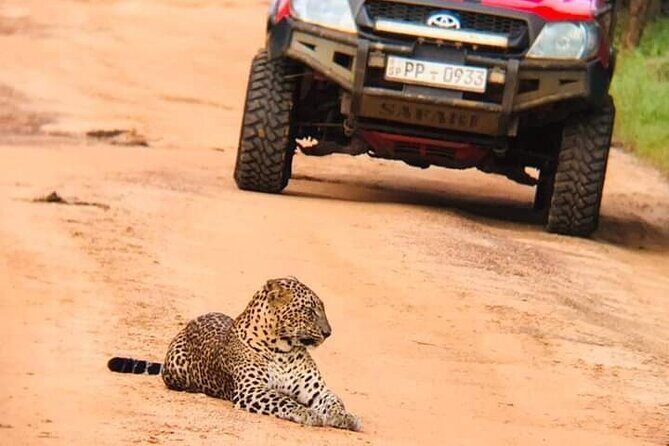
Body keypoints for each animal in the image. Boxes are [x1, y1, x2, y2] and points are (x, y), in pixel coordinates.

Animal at [107, 277, 360, 431]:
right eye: (309, 310)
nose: (328, 333)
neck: (284, 349)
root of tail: (189, 323)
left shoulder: (317, 391)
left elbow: (335, 401)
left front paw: (346, 417)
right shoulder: (252, 389)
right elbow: (283, 399)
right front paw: (308, 413)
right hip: (176, 373)